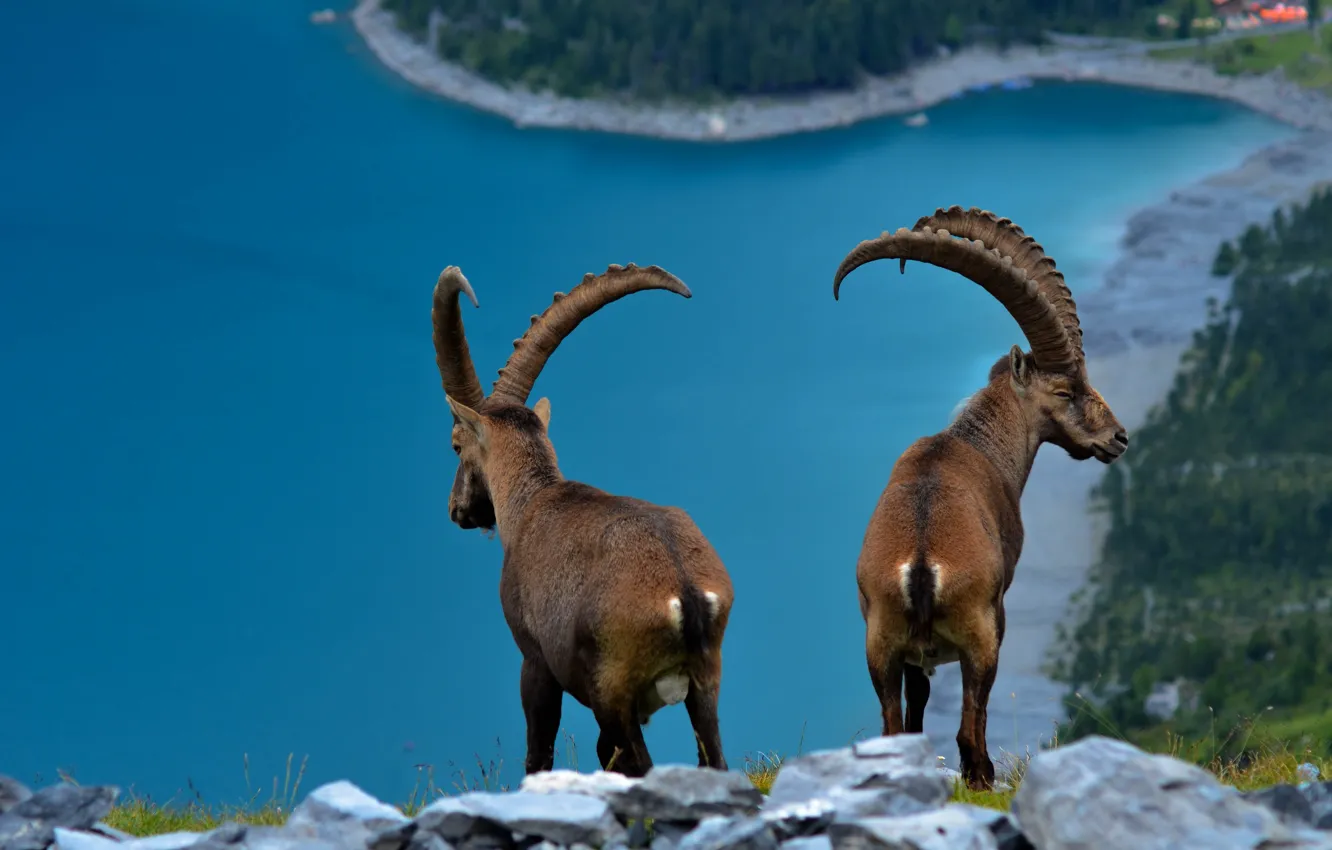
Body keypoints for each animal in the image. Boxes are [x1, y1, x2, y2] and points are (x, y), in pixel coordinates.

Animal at [431, 262, 735, 778]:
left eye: (456, 445)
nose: (457, 510)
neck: (533, 500)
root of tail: (686, 593)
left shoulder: (534, 660)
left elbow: (539, 751)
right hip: (704, 683)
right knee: (711, 756)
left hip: (612, 688)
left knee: (639, 761)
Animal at [831, 206, 1129, 791]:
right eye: (1065, 391)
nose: (1118, 438)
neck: (974, 443)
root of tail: (920, 564)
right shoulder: (997, 611)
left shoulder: (908, 654)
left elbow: (919, 703)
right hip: (981, 634)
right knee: (971, 725)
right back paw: (982, 777)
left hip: (880, 643)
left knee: (894, 725)